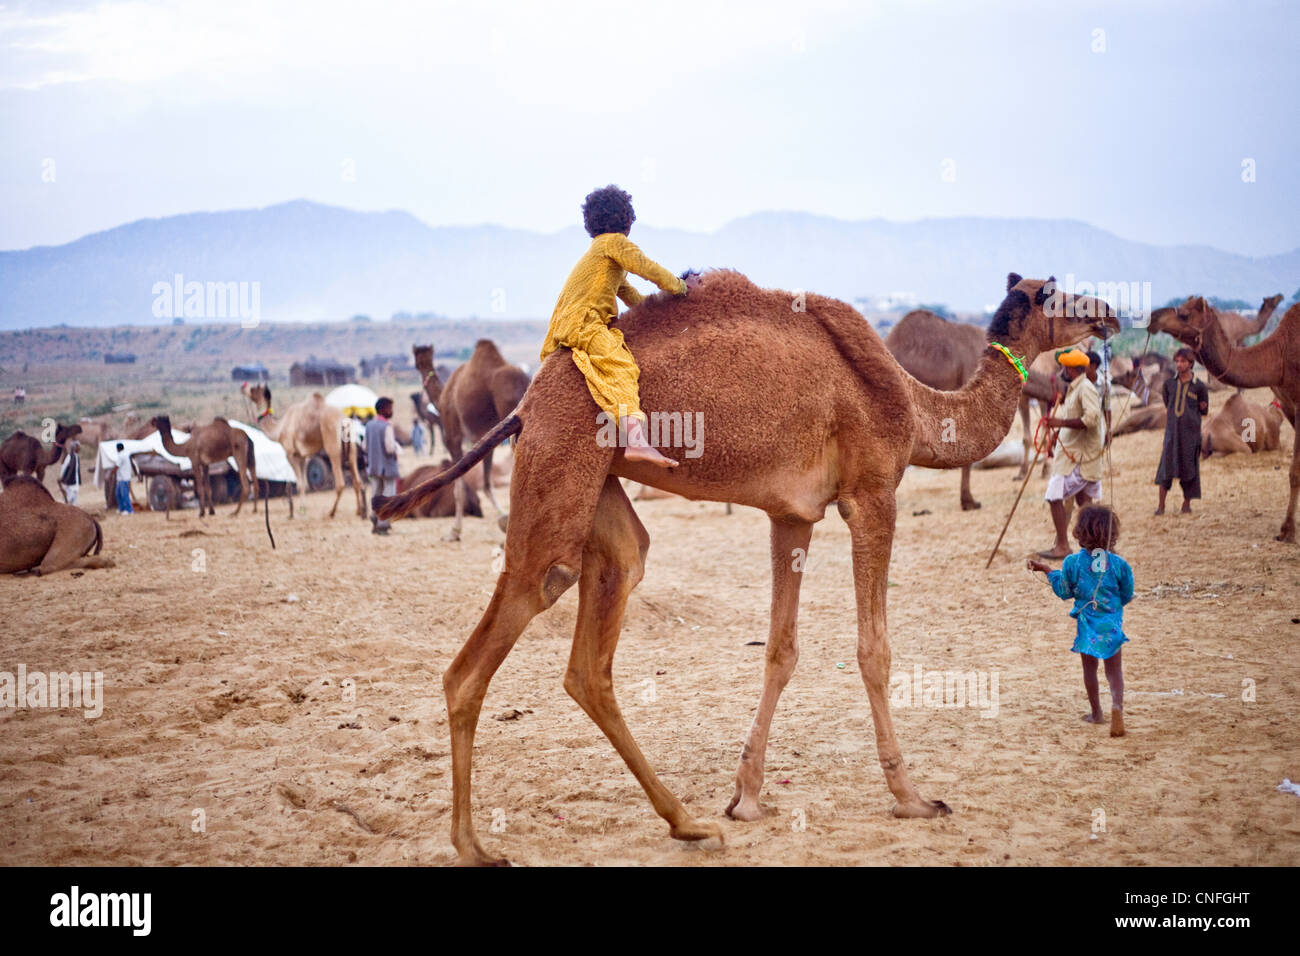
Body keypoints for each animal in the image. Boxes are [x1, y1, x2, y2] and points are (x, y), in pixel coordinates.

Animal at [241, 384, 365, 519]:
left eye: (253, 389)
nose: (243, 387)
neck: (279, 429)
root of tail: (344, 421)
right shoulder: (302, 456)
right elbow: (305, 484)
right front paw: (303, 509)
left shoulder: (290, 454)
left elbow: (300, 483)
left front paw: (299, 511)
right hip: (352, 447)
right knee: (357, 480)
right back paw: (358, 511)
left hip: (332, 444)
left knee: (340, 482)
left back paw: (331, 512)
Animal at [415, 340, 529, 540]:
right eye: (418, 362)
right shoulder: (486, 438)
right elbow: (486, 484)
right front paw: (502, 518)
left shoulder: (453, 437)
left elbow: (458, 486)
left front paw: (454, 531)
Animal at [1150, 297, 1300, 541]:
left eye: (1184, 314)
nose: (1153, 317)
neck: (1279, 353)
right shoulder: (1289, 405)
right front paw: (1287, 530)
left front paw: (1287, 532)